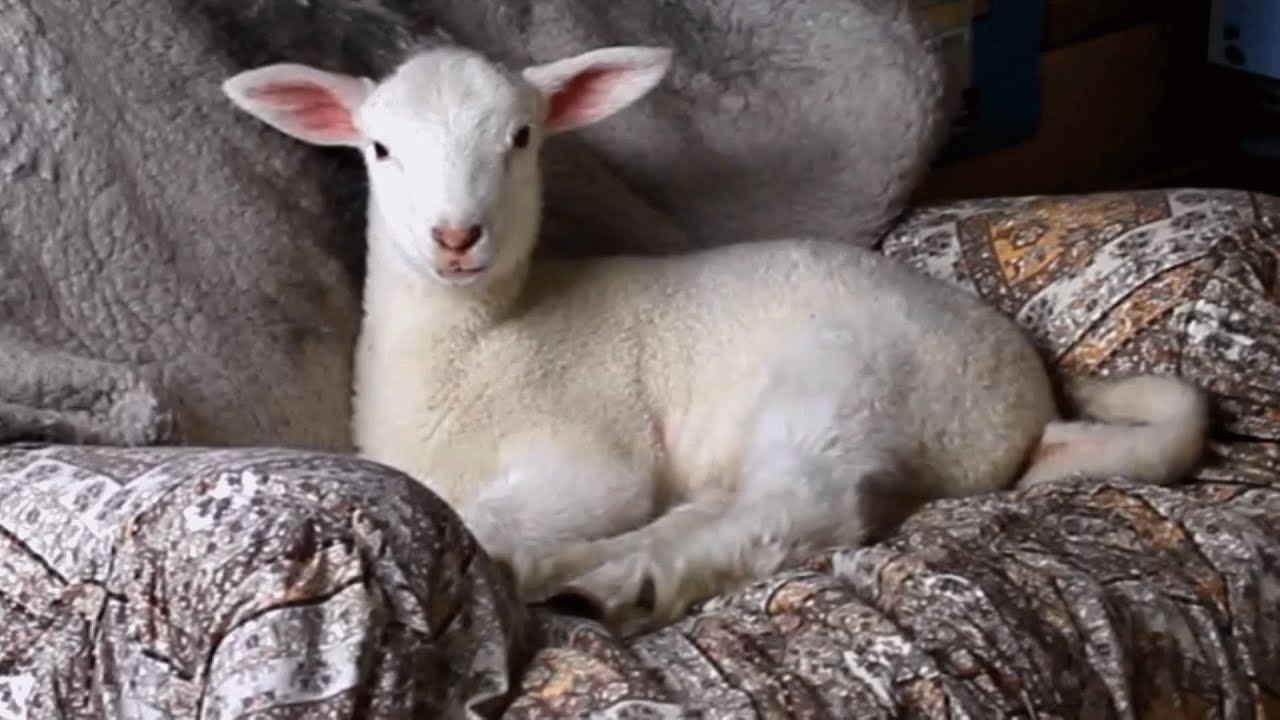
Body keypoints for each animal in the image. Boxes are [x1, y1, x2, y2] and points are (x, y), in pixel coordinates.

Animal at [222, 44, 1209, 636]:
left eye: (522, 137)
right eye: (380, 149)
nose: (457, 238)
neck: (492, 337)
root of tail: (1029, 407)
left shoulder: (589, 453)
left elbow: (485, 516)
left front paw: (496, 548)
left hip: (855, 383)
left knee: (800, 511)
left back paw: (624, 583)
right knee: (727, 506)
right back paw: (584, 575)